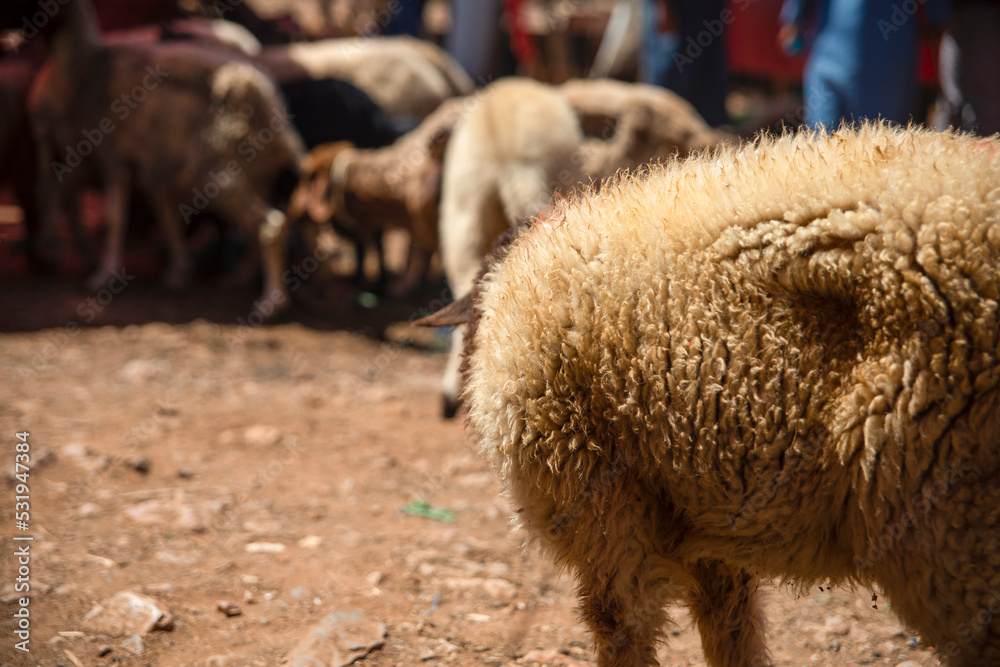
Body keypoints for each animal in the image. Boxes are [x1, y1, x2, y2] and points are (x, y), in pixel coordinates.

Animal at [7, 0, 304, 311]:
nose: (13, 39)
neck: (89, 66)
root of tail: (266, 100)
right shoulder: (149, 165)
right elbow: (166, 214)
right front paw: (178, 271)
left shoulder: (111, 155)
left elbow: (115, 217)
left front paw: (103, 274)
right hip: (250, 174)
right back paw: (242, 277)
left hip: (216, 171)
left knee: (271, 225)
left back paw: (271, 300)